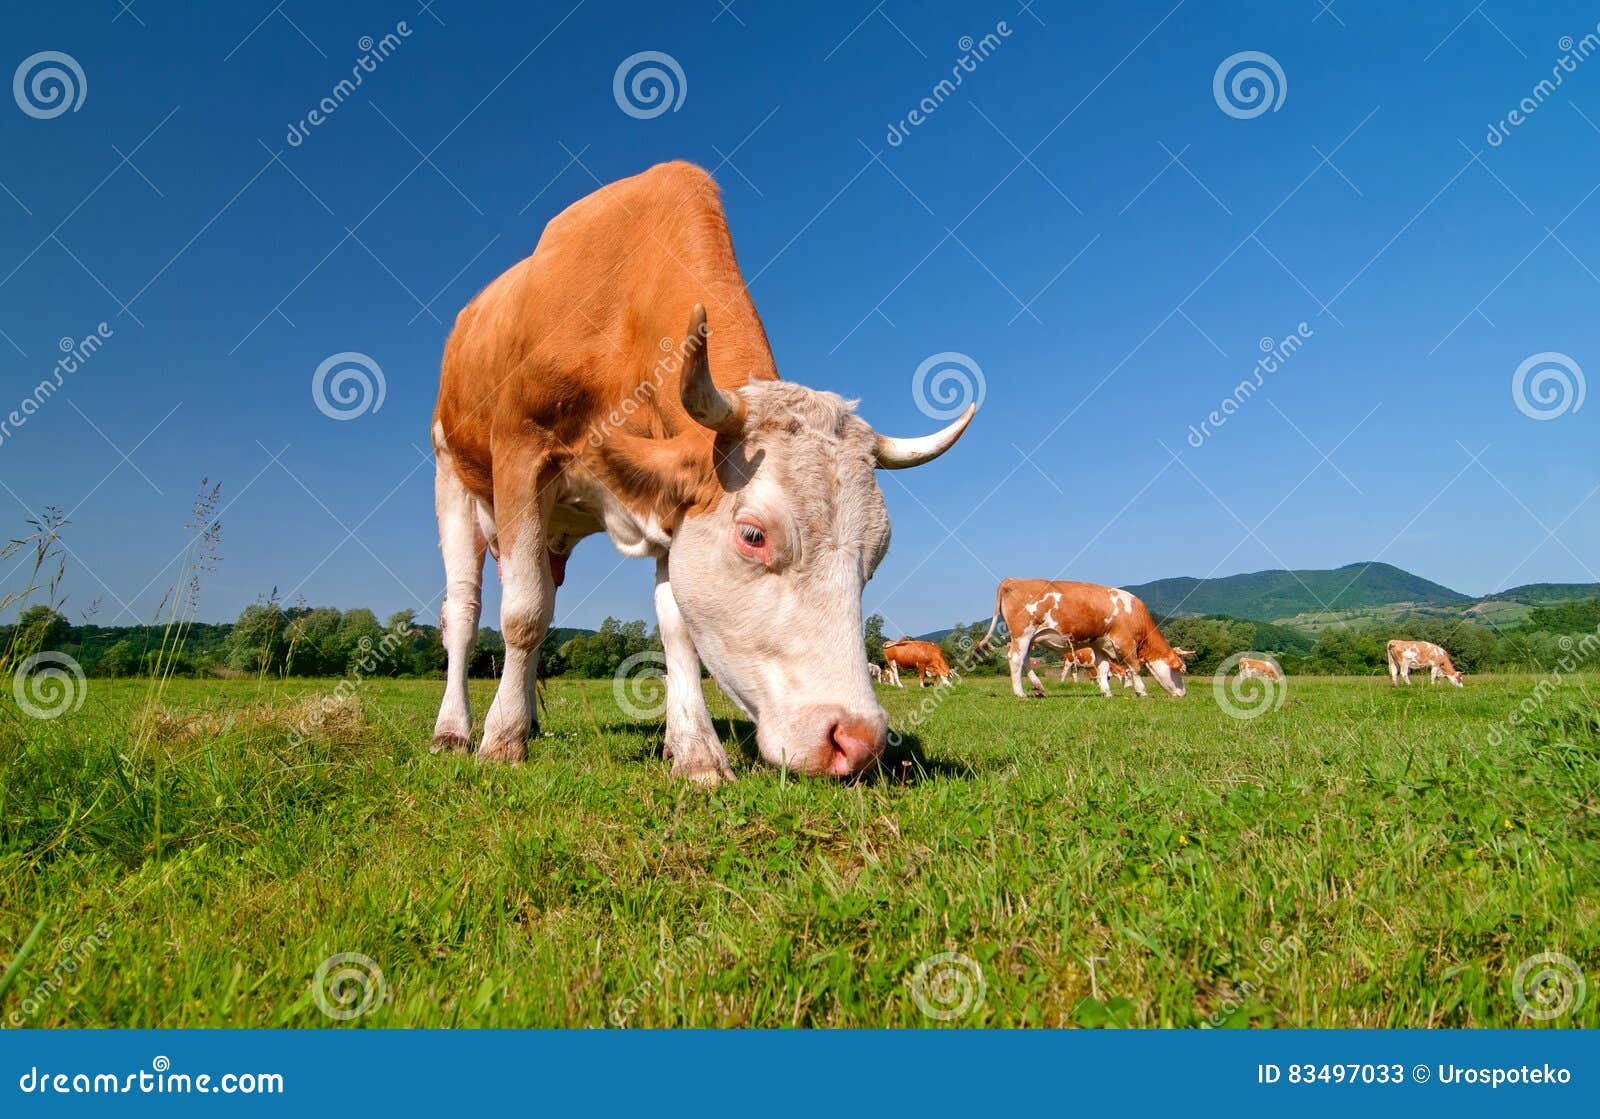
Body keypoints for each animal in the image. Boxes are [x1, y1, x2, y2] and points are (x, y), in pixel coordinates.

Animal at [429, 162, 974, 783]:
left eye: (877, 555)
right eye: (754, 535)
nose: (857, 741)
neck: (622, 306)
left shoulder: (674, 500)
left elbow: (677, 626)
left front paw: (694, 752)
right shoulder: (522, 450)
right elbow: (524, 613)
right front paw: (503, 739)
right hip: (453, 476)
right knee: (464, 612)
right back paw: (455, 729)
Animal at [981, 579, 1192, 699]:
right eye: (1180, 670)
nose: (1183, 694)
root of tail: (1013, 579)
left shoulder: (1099, 645)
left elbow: (1103, 669)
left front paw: (1107, 692)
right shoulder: (1125, 642)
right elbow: (1135, 667)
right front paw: (1142, 691)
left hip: (1030, 638)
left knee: (1025, 660)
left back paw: (1038, 687)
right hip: (1023, 633)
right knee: (1016, 659)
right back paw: (1020, 693)